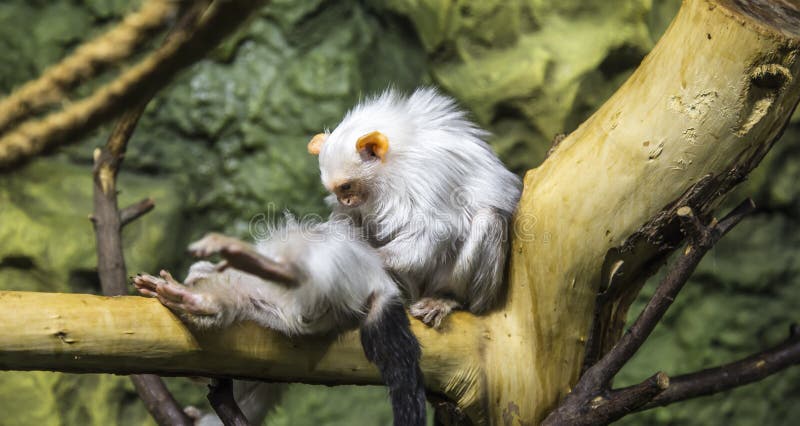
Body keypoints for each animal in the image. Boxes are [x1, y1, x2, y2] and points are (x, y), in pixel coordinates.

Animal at [308, 87, 522, 328]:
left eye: (346, 186)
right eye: (337, 191)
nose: (345, 200)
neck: (390, 169)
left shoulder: (425, 174)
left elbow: (436, 229)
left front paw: (374, 256)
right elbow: (348, 222)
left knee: (488, 219)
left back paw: (447, 297)